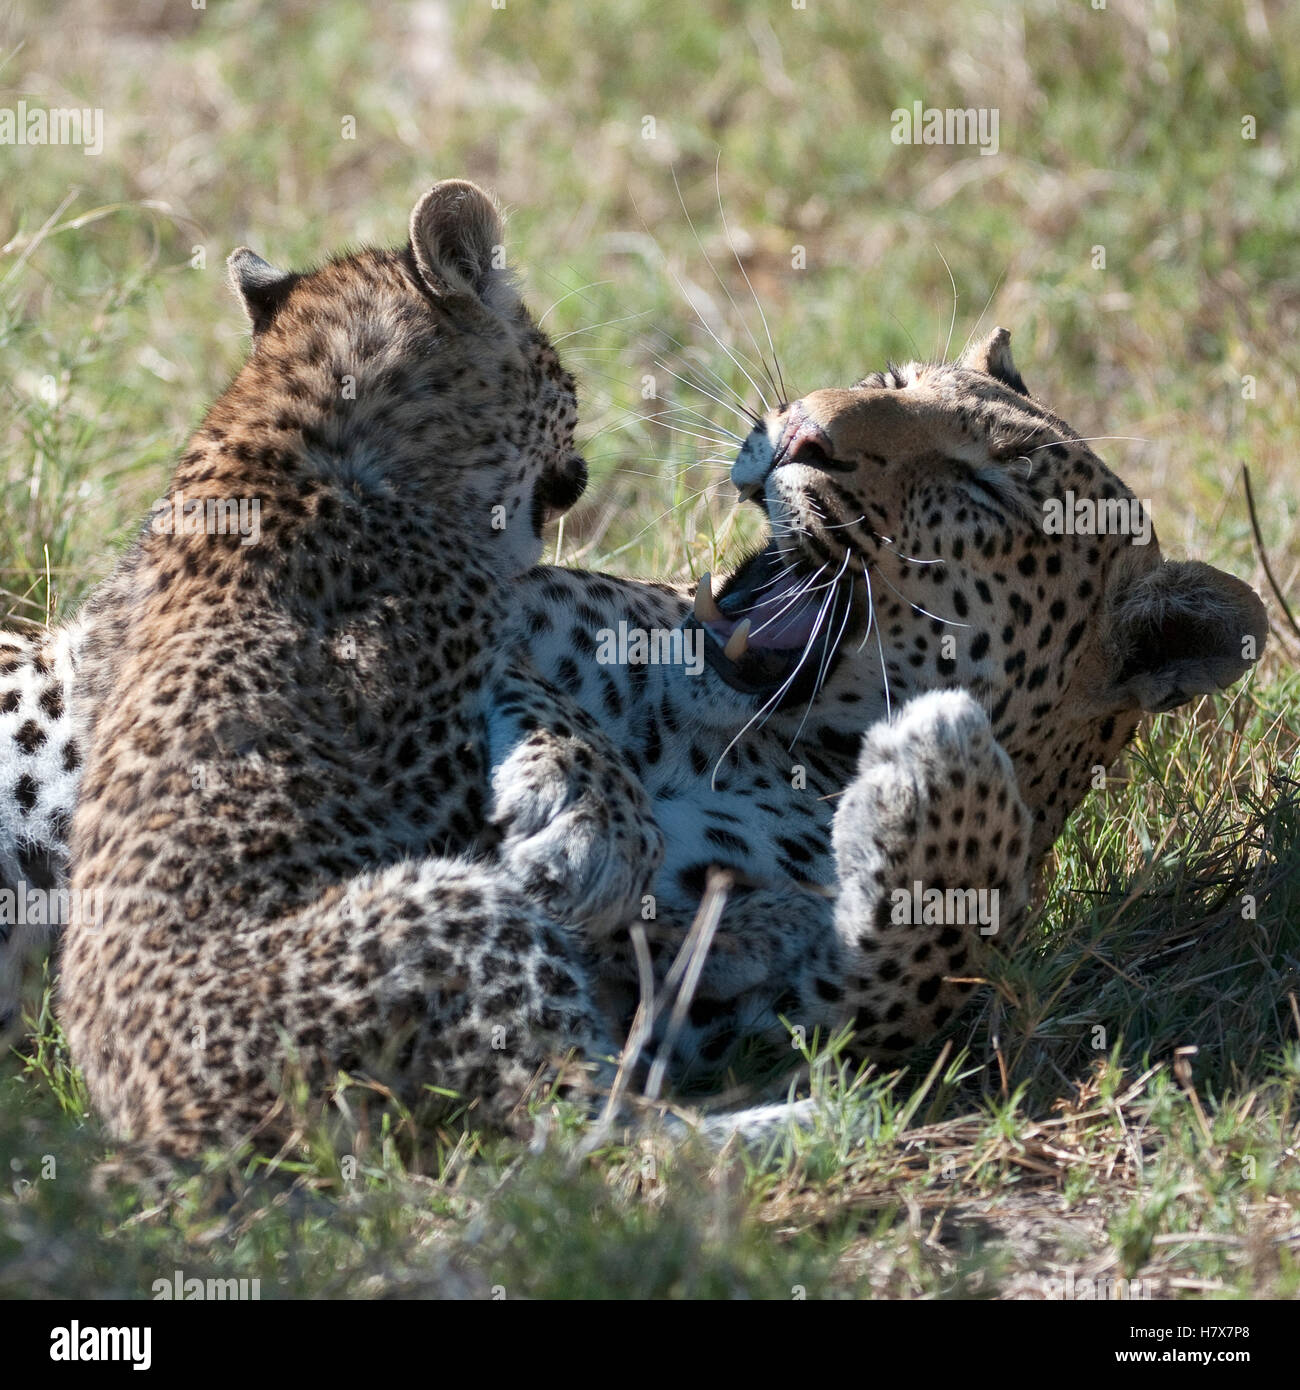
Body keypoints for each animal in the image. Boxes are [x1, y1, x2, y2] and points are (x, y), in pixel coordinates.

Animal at [0, 196, 1268, 1143]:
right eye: (890, 376)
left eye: (984, 489)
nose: (796, 429)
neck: (759, 734)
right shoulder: (511, 617)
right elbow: (534, 685)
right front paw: (587, 813)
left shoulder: (726, 1021)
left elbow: (911, 975)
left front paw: (945, 784)